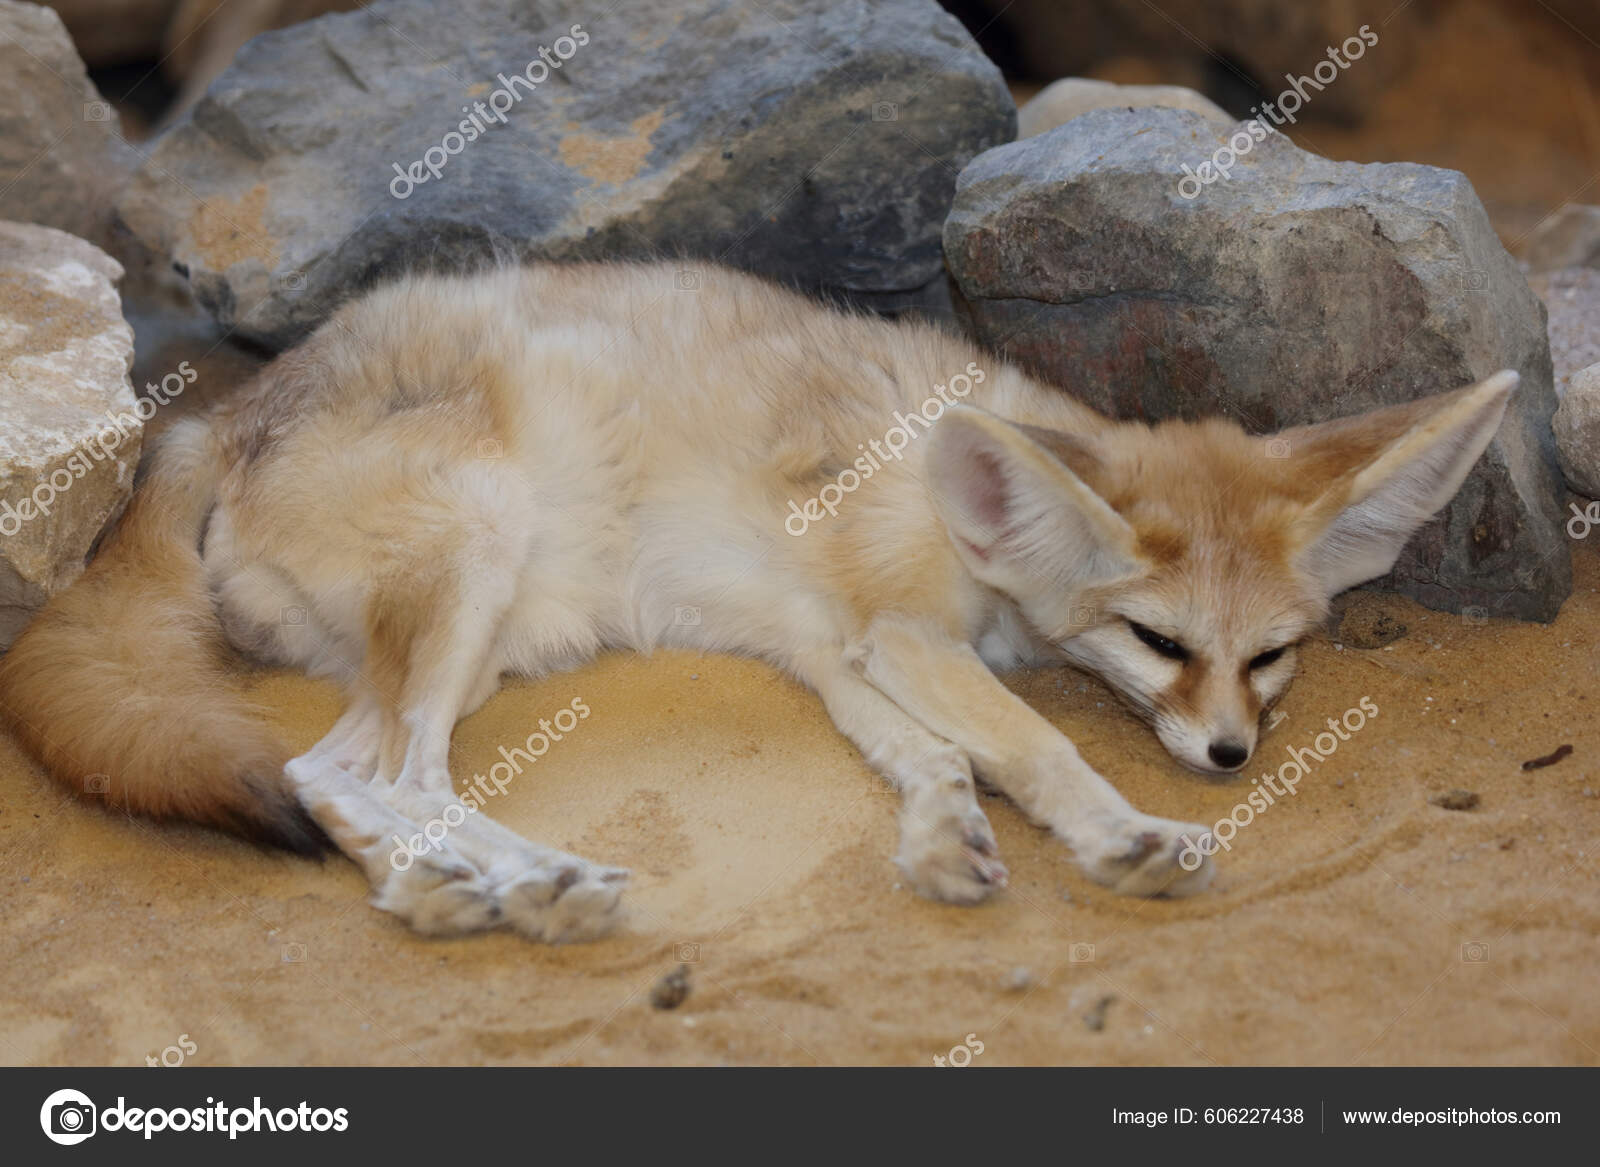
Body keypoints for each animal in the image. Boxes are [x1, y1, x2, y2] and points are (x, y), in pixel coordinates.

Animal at [0, 260, 1516, 942]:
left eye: (1275, 657)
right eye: (1159, 642)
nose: (1231, 755)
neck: (949, 498)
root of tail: (226, 408)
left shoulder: (837, 648)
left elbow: (928, 756)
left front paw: (942, 839)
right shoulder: (901, 628)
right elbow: (1032, 740)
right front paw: (1121, 831)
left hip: (485, 635)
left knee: (338, 782)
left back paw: (440, 887)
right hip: (474, 564)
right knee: (375, 771)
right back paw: (530, 878)